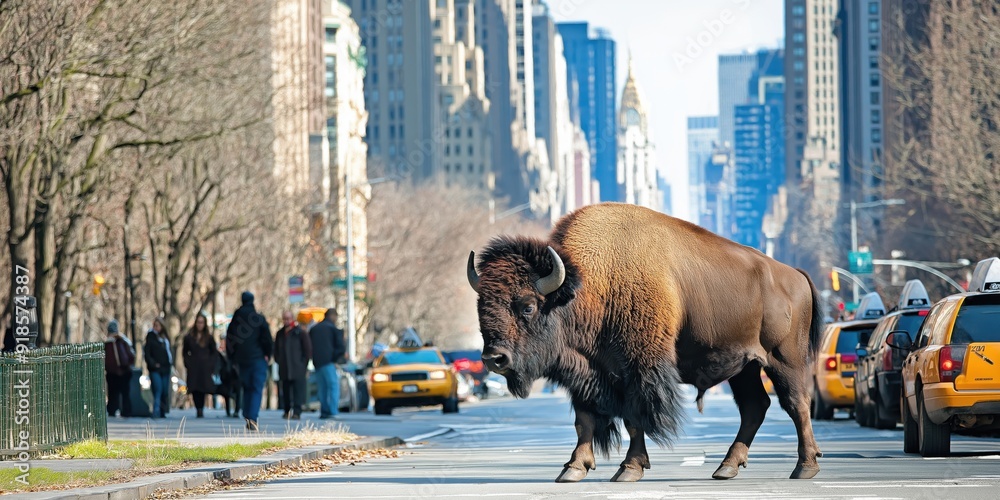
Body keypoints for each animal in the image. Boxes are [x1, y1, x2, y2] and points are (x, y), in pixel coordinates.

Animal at [467, 203, 823, 482]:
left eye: (527, 305)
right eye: (481, 306)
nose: (494, 358)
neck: (589, 286)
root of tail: (795, 275)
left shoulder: (636, 370)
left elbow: (634, 418)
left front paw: (629, 469)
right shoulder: (586, 373)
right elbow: (584, 420)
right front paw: (572, 469)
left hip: (783, 360)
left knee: (796, 403)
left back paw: (804, 467)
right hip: (744, 366)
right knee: (754, 406)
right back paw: (726, 467)